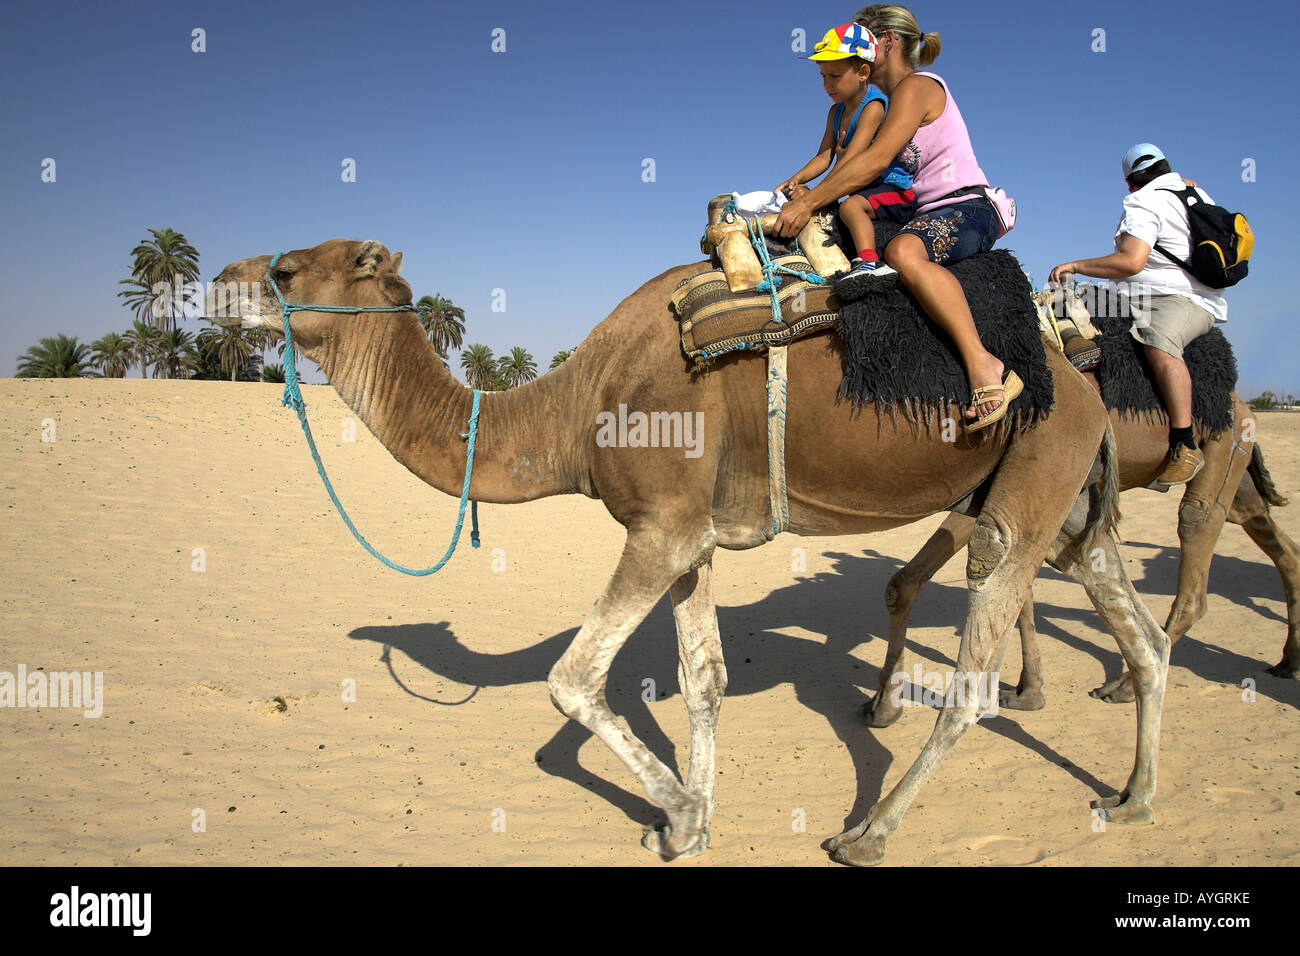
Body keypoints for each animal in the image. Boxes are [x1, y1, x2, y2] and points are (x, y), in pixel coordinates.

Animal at [208, 238, 1170, 865]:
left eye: (286, 269)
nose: (216, 282)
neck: (575, 409)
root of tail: (1083, 379)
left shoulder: (658, 527)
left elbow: (570, 680)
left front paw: (674, 817)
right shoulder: (687, 535)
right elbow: (703, 678)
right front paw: (696, 820)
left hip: (1028, 483)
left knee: (976, 667)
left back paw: (868, 833)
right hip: (1068, 503)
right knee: (1143, 636)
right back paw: (1132, 798)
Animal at [864, 373, 1299, 728]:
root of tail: (1244, 405)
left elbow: (910, 582)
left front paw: (886, 704)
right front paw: (1028, 691)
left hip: (1223, 451)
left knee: (1196, 537)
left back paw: (1123, 687)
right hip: (1238, 480)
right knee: (1278, 543)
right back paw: (1286, 662)